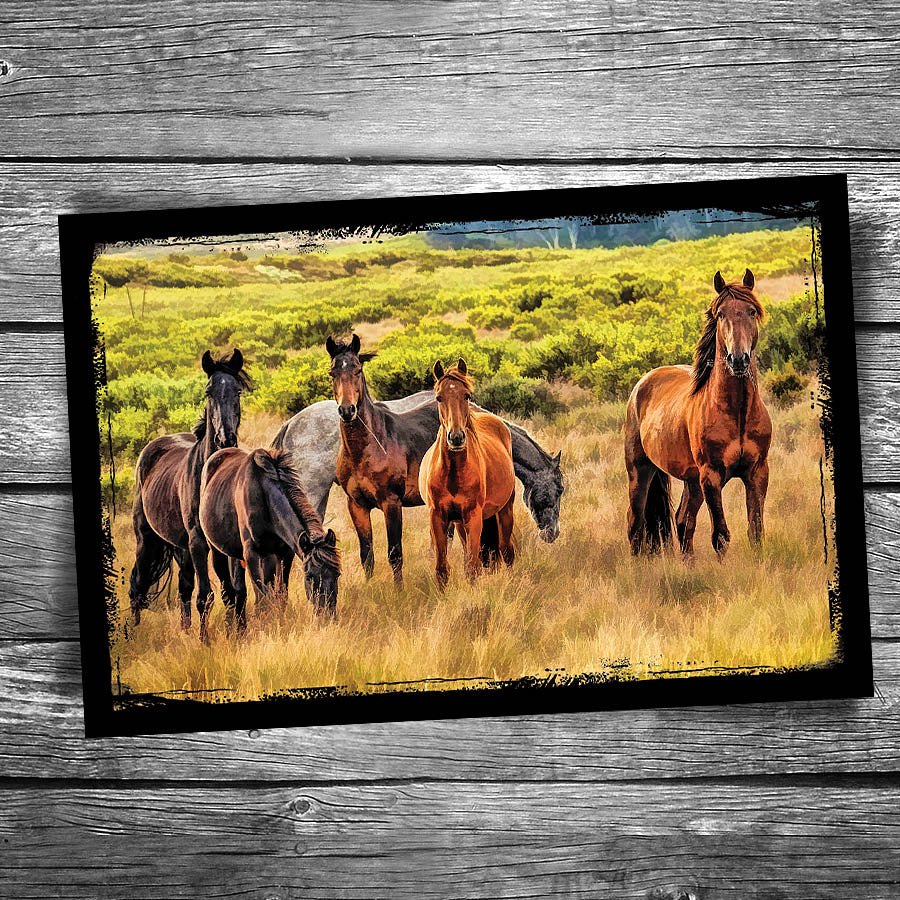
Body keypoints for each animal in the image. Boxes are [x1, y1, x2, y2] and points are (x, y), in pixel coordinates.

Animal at [128, 349, 249, 642]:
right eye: (208, 391)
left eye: (238, 391)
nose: (225, 439)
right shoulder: (198, 542)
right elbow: (206, 596)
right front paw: (205, 642)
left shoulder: (228, 542)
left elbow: (235, 591)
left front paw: (238, 634)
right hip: (147, 540)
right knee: (138, 583)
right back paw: (134, 634)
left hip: (181, 548)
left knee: (184, 587)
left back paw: (184, 630)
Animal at [199, 447, 341, 628]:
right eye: (309, 576)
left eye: (337, 575)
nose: (327, 617)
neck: (264, 496)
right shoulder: (251, 554)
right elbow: (262, 599)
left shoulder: (284, 554)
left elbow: (280, 596)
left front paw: (279, 623)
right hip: (218, 551)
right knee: (230, 591)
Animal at [419, 359, 516, 587]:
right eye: (439, 397)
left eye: (467, 395)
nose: (456, 438)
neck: (453, 473)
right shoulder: (439, 517)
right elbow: (442, 569)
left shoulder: (473, 516)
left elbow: (473, 567)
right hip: (460, 523)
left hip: (505, 510)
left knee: (506, 551)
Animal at [624, 268, 772, 559]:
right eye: (720, 314)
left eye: (751, 311)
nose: (738, 360)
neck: (737, 413)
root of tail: (642, 383)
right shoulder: (711, 476)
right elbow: (721, 537)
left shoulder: (757, 472)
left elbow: (756, 532)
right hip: (640, 472)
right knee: (635, 524)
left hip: (692, 481)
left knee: (683, 521)